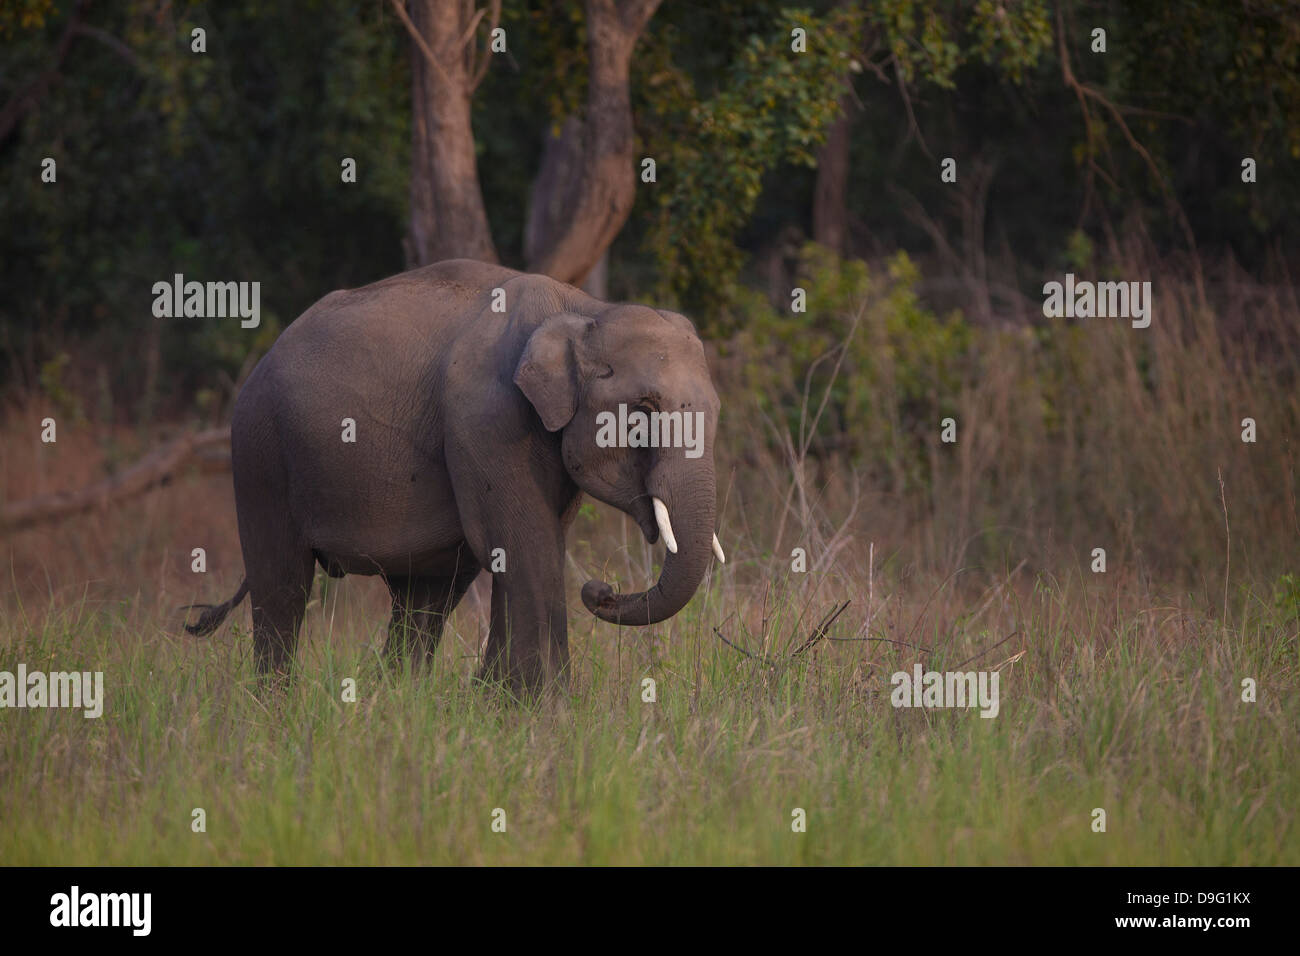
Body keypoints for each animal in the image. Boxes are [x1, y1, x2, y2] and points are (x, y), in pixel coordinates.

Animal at [185, 259, 725, 695]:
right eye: (644, 410)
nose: (601, 589)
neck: (584, 310)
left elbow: (521, 548)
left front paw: (498, 704)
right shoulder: (487, 418)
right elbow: (528, 545)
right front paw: (543, 709)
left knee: (424, 598)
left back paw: (396, 702)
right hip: (260, 452)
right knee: (283, 586)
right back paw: (274, 708)